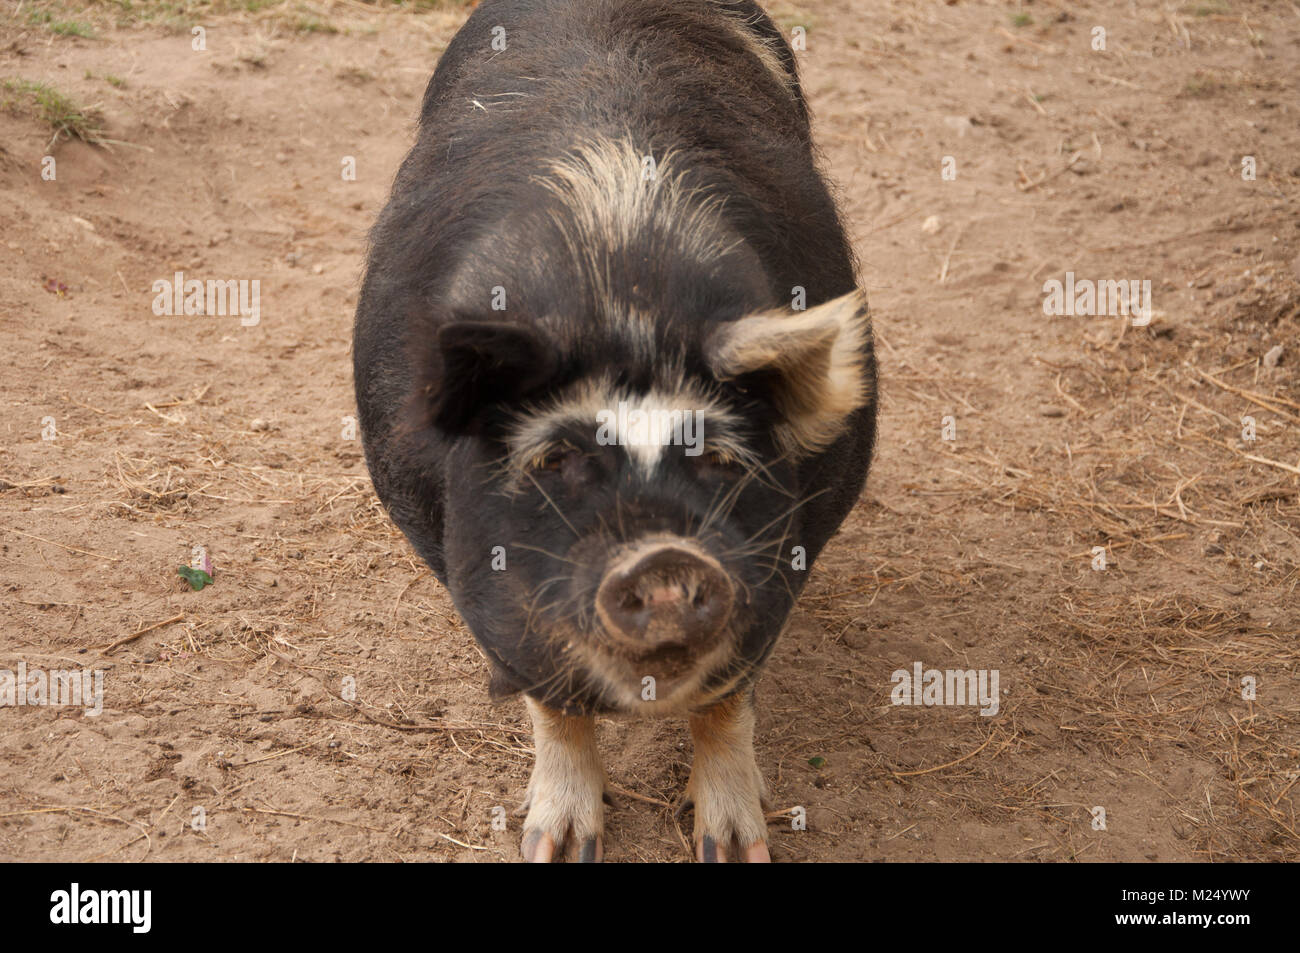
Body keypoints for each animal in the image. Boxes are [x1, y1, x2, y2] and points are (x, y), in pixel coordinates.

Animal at [353, 0, 877, 862]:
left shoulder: (793, 550)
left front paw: (734, 847)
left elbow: (726, 699)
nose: (663, 558)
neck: (623, 295)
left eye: (718, 456)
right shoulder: (458, 558)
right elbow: (551, 696)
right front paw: (555, 846)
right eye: (558, 457)